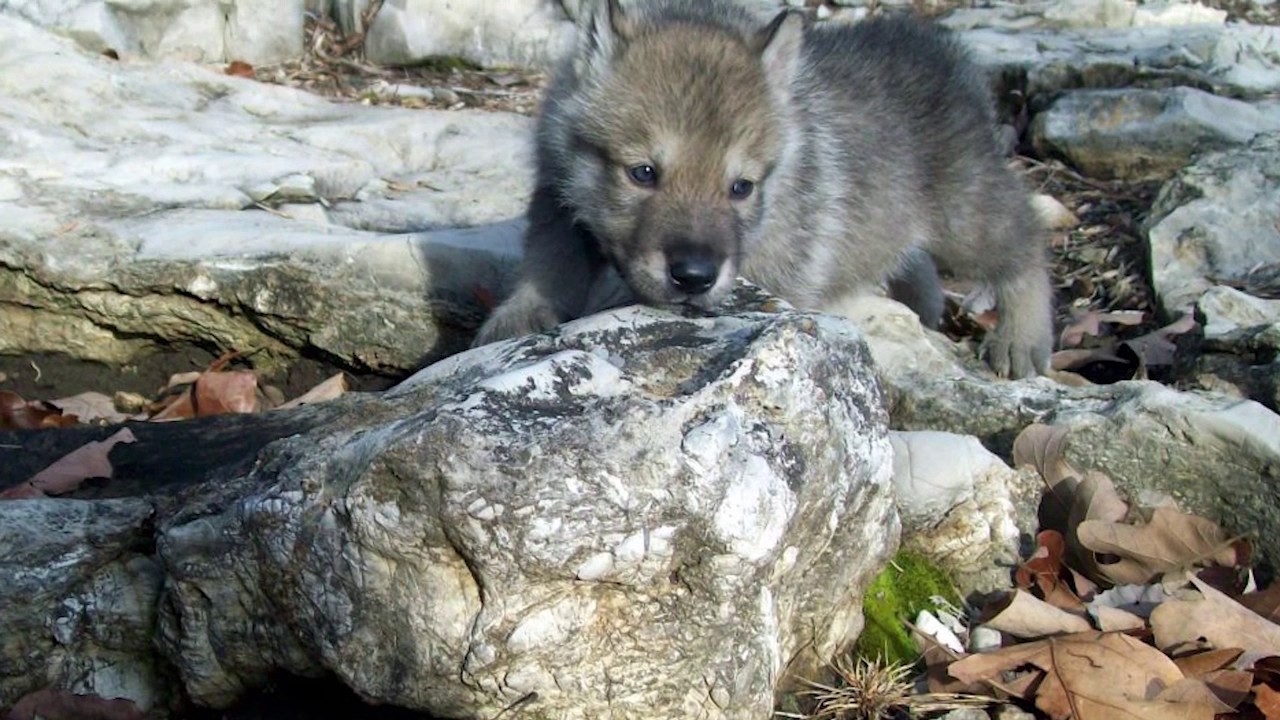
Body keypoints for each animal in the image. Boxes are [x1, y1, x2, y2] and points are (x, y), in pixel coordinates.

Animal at [472, 0, 1054, 379]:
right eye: (643, 173)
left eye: (741, 186)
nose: (694, 276)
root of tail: (944, 52)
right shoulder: (557, 195)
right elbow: (550, 260)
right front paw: (521, 316)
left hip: (966, 216)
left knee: (1026, 240)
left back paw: (1021, 339)